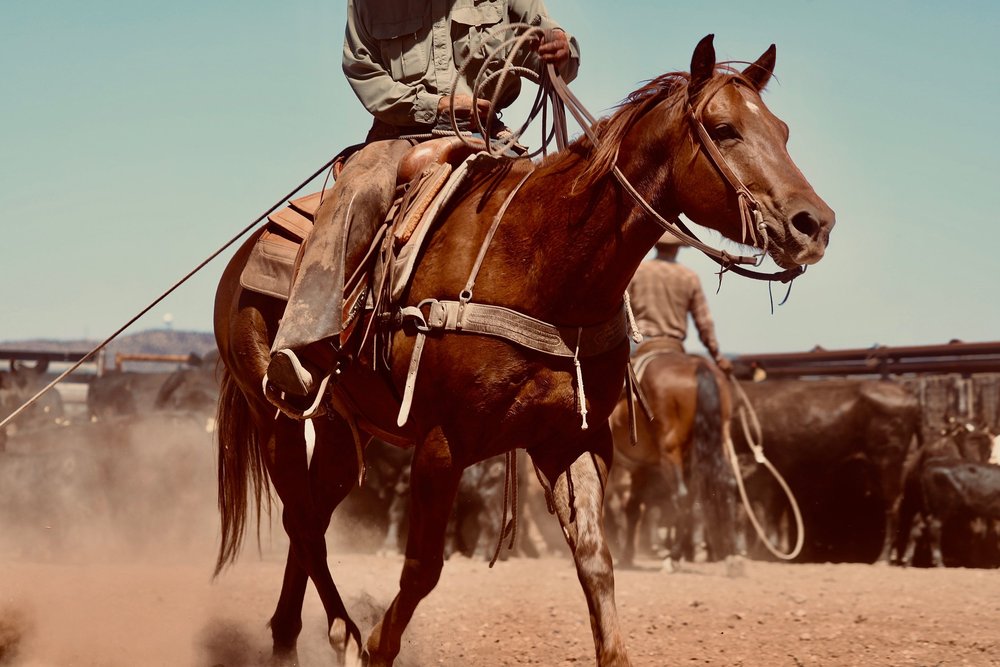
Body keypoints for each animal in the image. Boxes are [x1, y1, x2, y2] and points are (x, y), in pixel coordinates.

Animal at [608, 348, 744, 571]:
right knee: (724, 485)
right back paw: (731, 556)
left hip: (670, 453)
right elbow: (633, 507)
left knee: (681, 496)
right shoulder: (641, 468)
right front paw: (627, 554)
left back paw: (672, 557)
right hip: (717, 442)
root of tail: (700, 367)